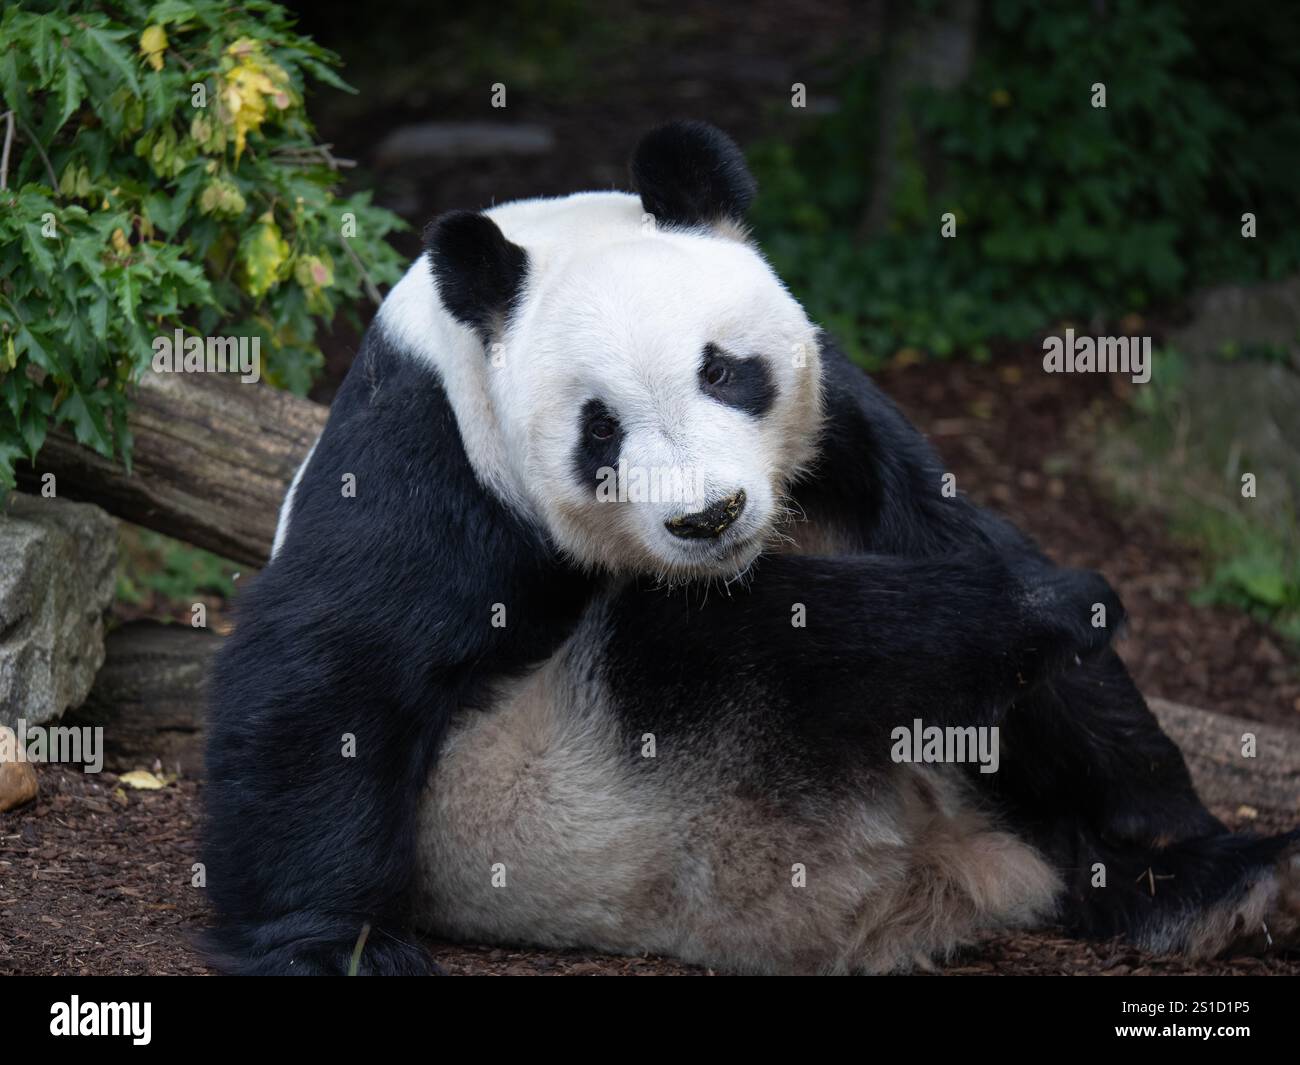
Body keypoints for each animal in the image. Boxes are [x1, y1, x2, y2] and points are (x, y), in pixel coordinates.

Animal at [204, 121, 1300, 975]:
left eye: (725, 371)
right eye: (598, 430)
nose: (709, 516)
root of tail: (948, 859)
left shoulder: (839, 425)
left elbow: (953, 534)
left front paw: (1173, 830)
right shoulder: (429, 451)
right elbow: (336, 664)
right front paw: (328, 944)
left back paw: (1213, 885)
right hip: (596, 780)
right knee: (778, 639)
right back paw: (1022, 619)